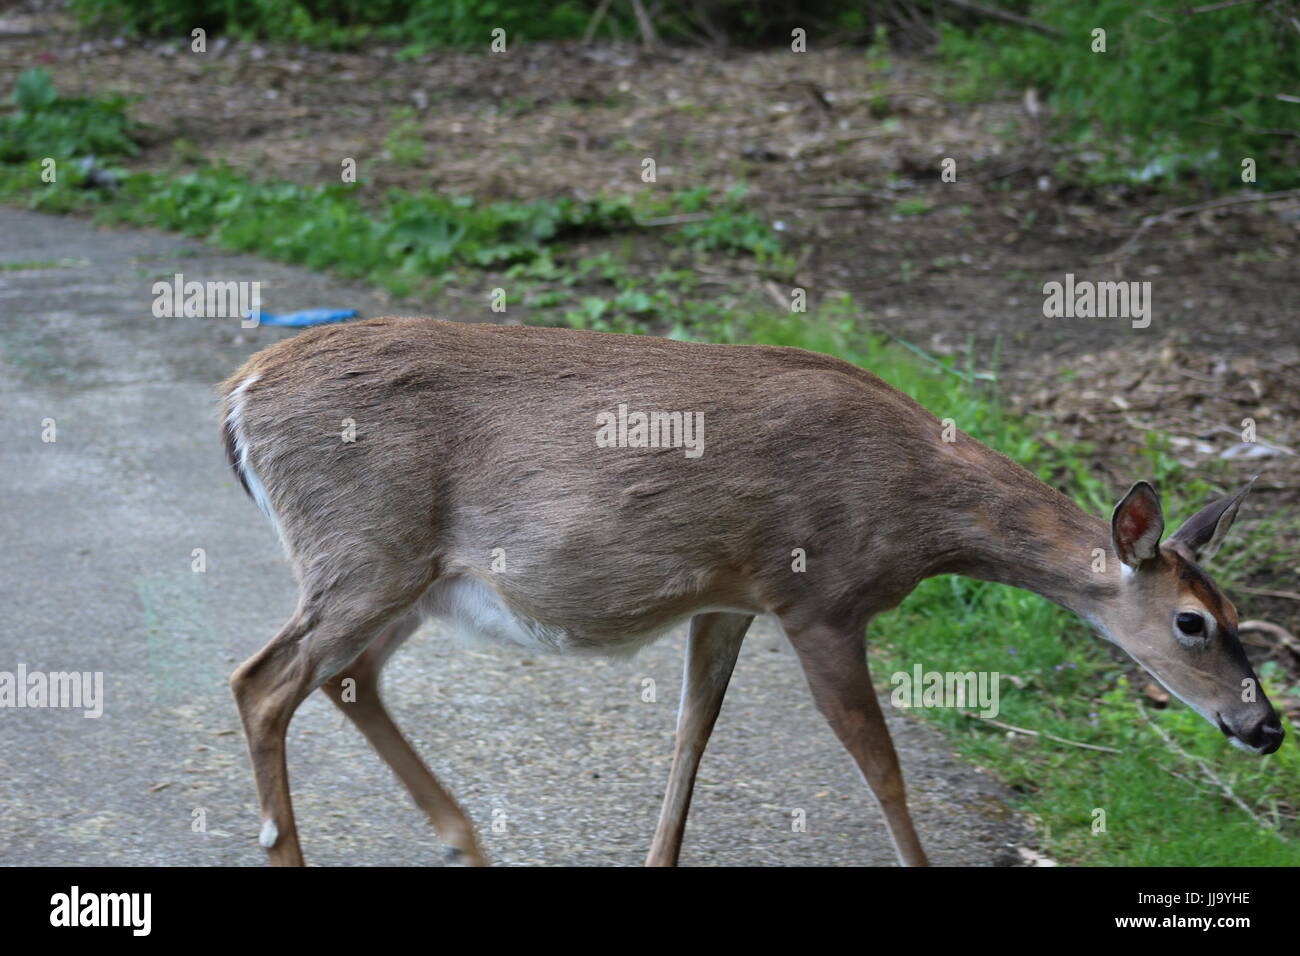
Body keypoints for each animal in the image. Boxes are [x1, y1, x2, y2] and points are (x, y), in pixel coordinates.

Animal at [220, 316, 1284, 867]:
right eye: (1192, 622)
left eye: (1245, 619)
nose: (1266, 727)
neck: (923, 514)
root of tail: (238, 392)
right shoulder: (821, 601)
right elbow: (882, 769)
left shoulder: (730, 596)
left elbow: (691, 739)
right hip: (365, 551)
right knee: (263, 680)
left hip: (412, 579)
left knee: (348, 678)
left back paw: (465, 842)